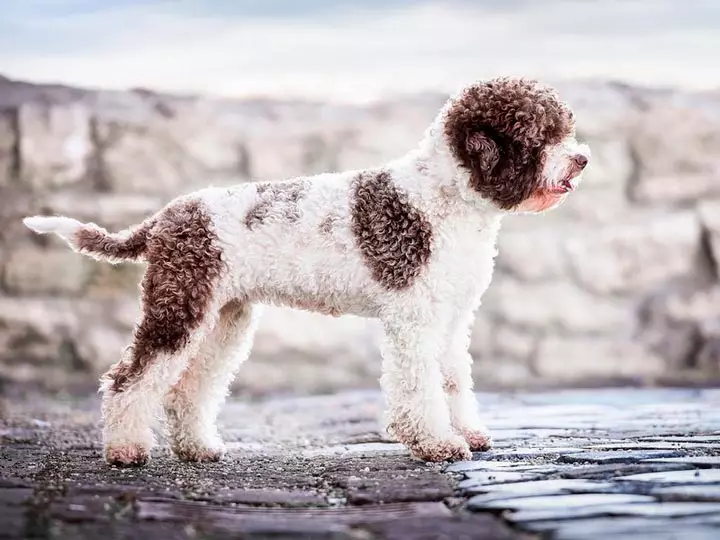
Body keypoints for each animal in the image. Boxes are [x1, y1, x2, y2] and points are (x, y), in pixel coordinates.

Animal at [23, 78, 592, 466]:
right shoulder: (413, 320)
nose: (582, 159)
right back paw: (124, 450)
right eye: (539, 135)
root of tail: (166, 218)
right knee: (129, 378)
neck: (445, 199)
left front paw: (469, 433)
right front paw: (438, 443)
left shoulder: (451, 320)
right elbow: (419, 387)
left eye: (563, 128)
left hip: (225, 318)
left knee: (189, 388)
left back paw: (199, 449)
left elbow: (453, 379)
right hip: (179, 307)